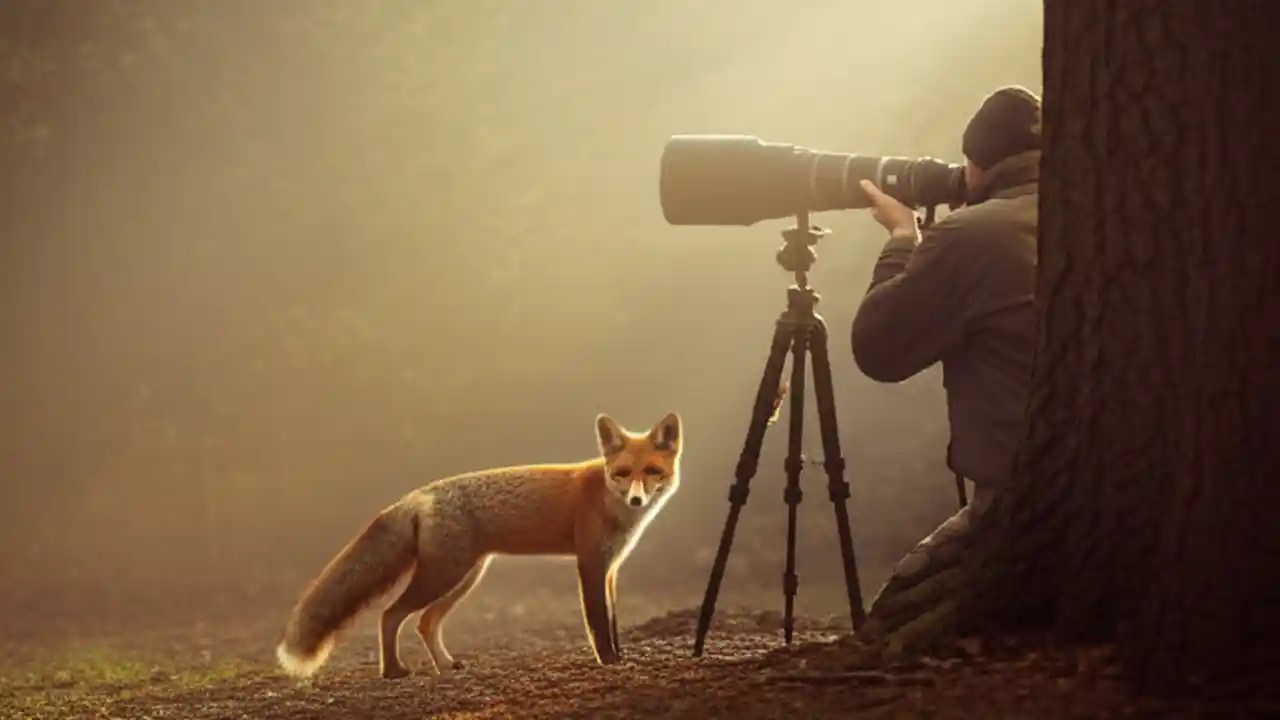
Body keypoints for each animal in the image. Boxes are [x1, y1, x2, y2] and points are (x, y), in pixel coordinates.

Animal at [274, 411, 684, 680]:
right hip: (445, 575)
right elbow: (598, 623)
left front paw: (620, 656)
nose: (636, 500)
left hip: (464, 577)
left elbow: (612, 620)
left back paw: (444, 667)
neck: (608, 501)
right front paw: (609, 662)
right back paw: (393, 671)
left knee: (424, 622)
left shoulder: (611, 569)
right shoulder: (590, 565)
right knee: (390, 615)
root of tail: (417, 496)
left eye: (652, 472)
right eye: (622, 474)